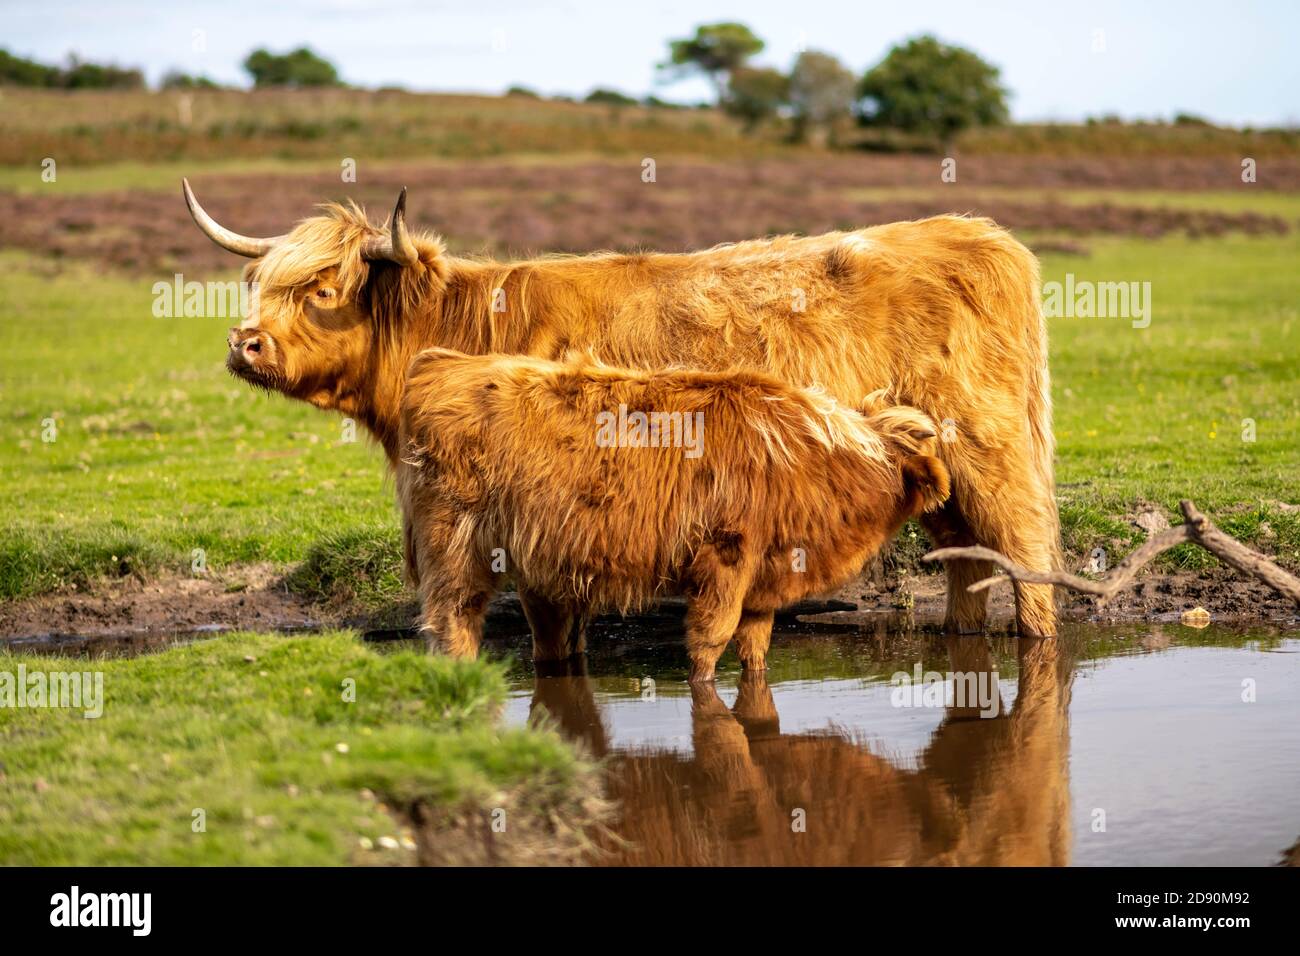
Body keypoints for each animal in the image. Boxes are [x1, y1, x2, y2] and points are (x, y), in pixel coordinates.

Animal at [184, 180, 1060, 643]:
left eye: (324, 289)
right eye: (258, 283)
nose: (243, 343)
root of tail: (980, 235)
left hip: (990, 451)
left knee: (1025, 550)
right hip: (934, 473)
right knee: (967, 562)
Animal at [395, 348, 950, 680]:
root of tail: (440, 362)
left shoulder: (765, 579)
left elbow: (755, 649)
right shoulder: (724, 559)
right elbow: (709, 643)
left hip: (542, 563)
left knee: (550, 637)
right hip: (454, 547)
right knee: (453, 622)